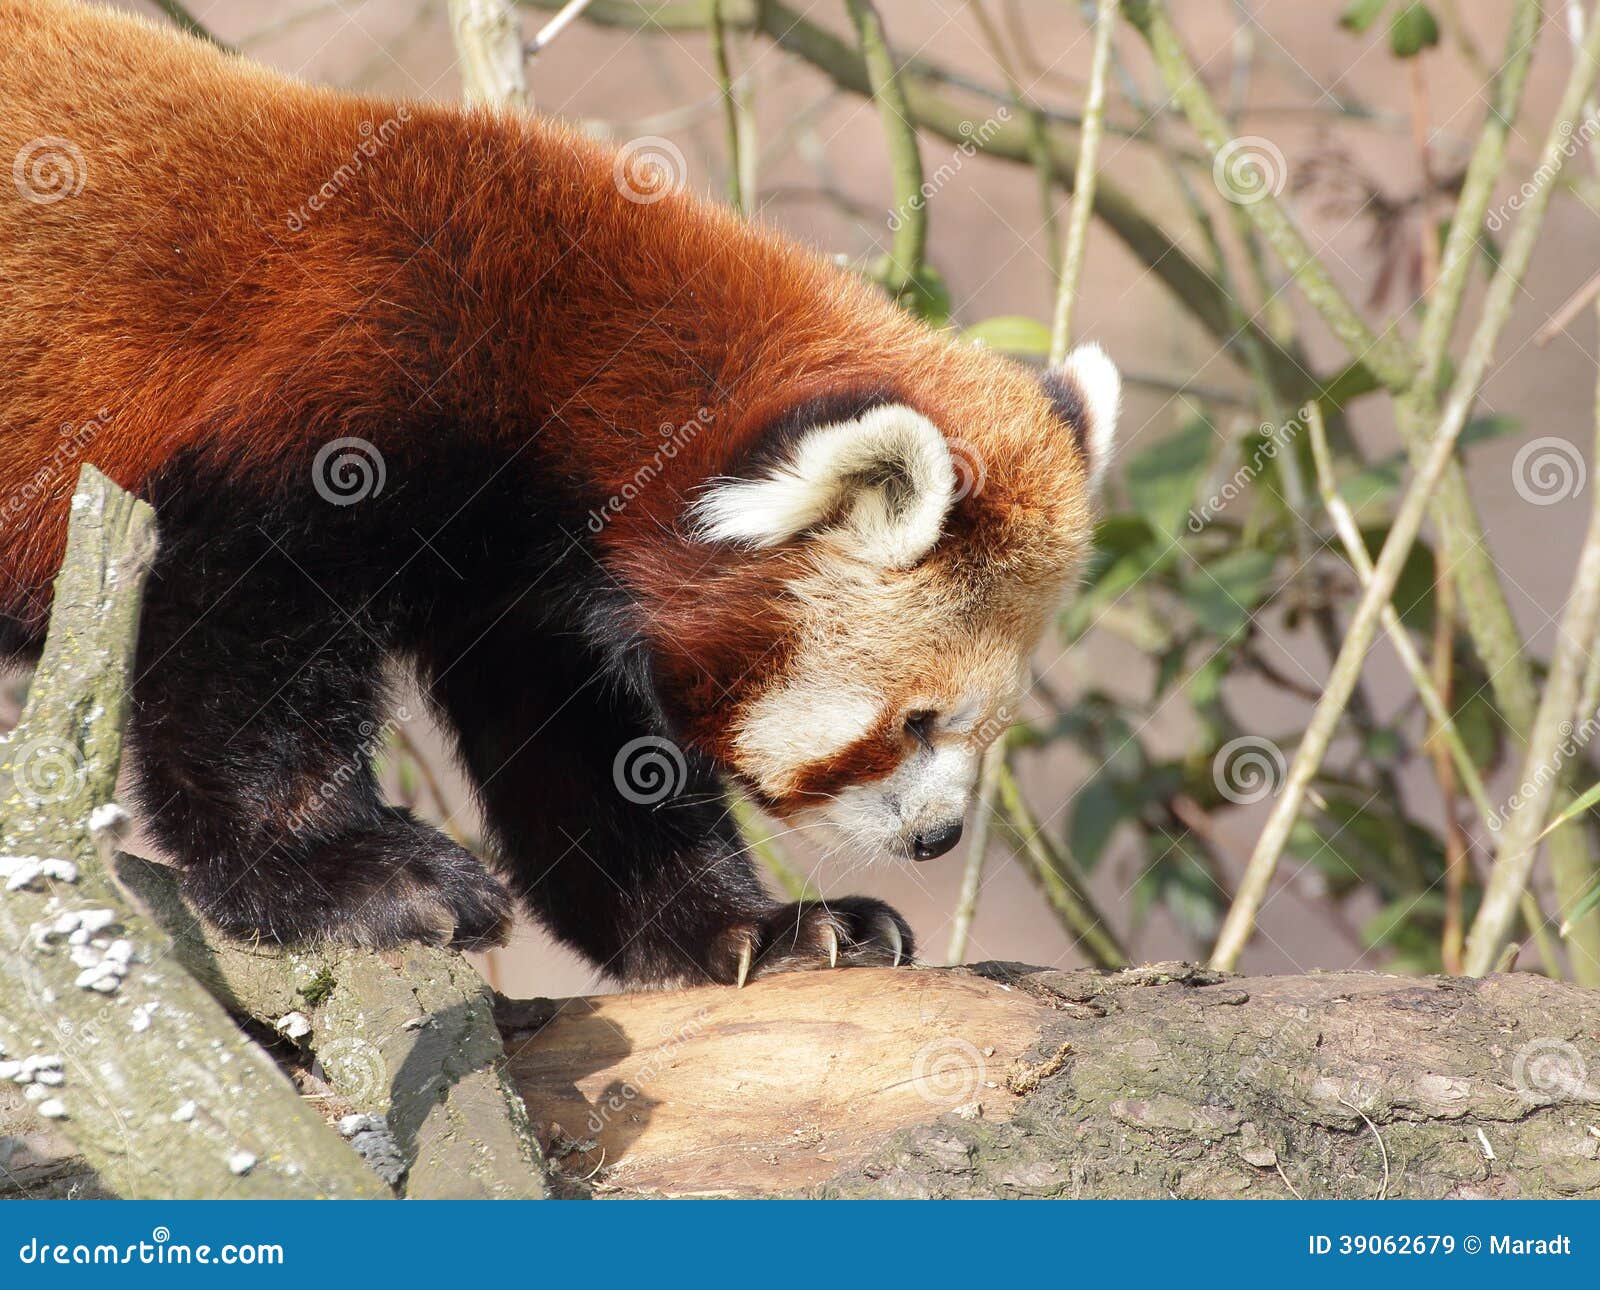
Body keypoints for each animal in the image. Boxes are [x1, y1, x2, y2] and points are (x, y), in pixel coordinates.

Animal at [0, 0, 1119, 986]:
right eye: (916, 721)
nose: (938, 838)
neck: (567, 354)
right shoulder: (351, 387)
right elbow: (237, 646)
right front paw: (353, 880)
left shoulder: (531, 590)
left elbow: (586, 758)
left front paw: (756, 929)